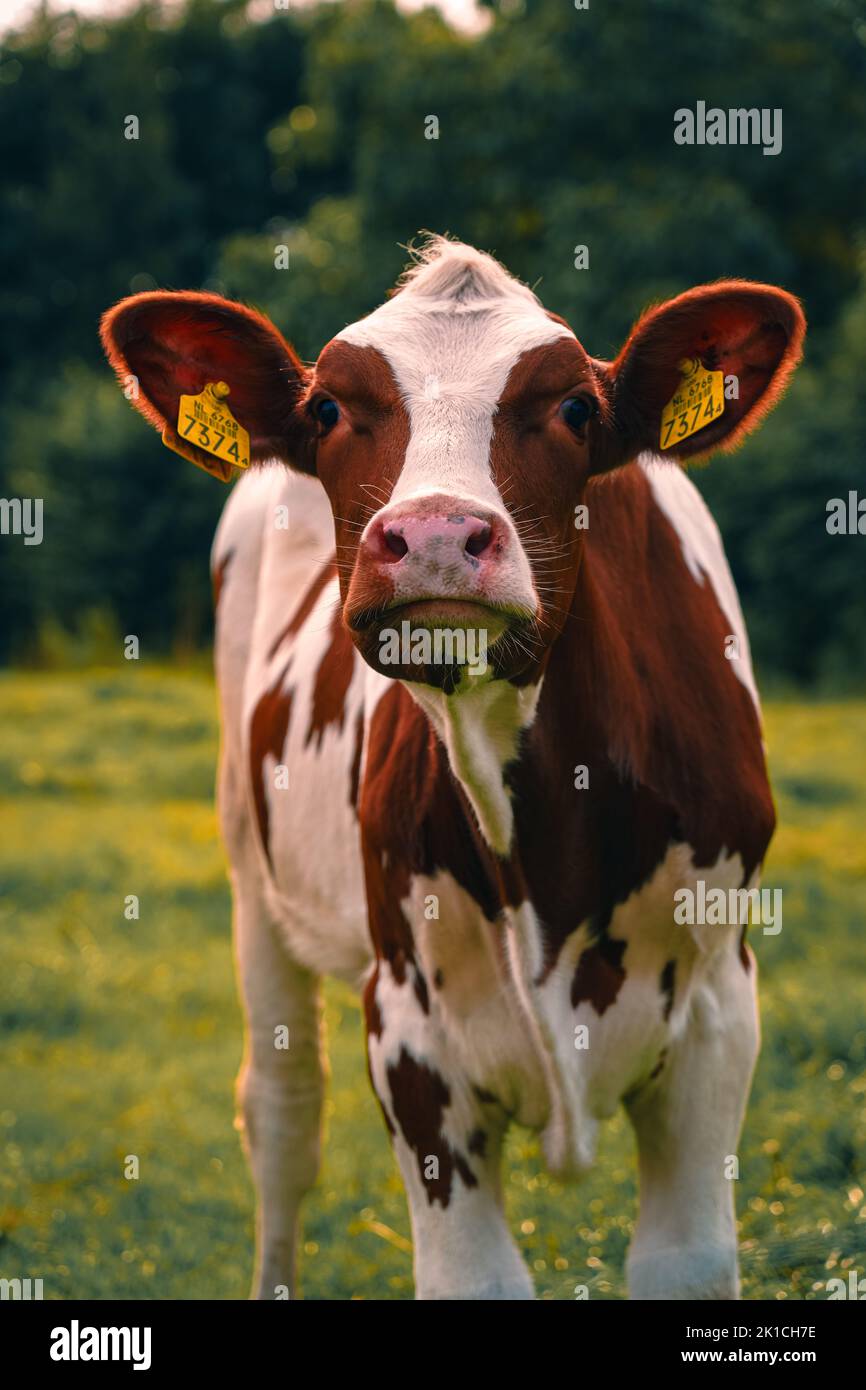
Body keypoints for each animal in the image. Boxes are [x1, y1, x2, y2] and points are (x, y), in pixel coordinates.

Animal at [101, 236, 804, 1301]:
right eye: (327, 410)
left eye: (576, 408)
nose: (434, 535)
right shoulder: (410, 1037)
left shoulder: (720, 1011)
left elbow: (683, 1262)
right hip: (250, 869)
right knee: (281, 1117)